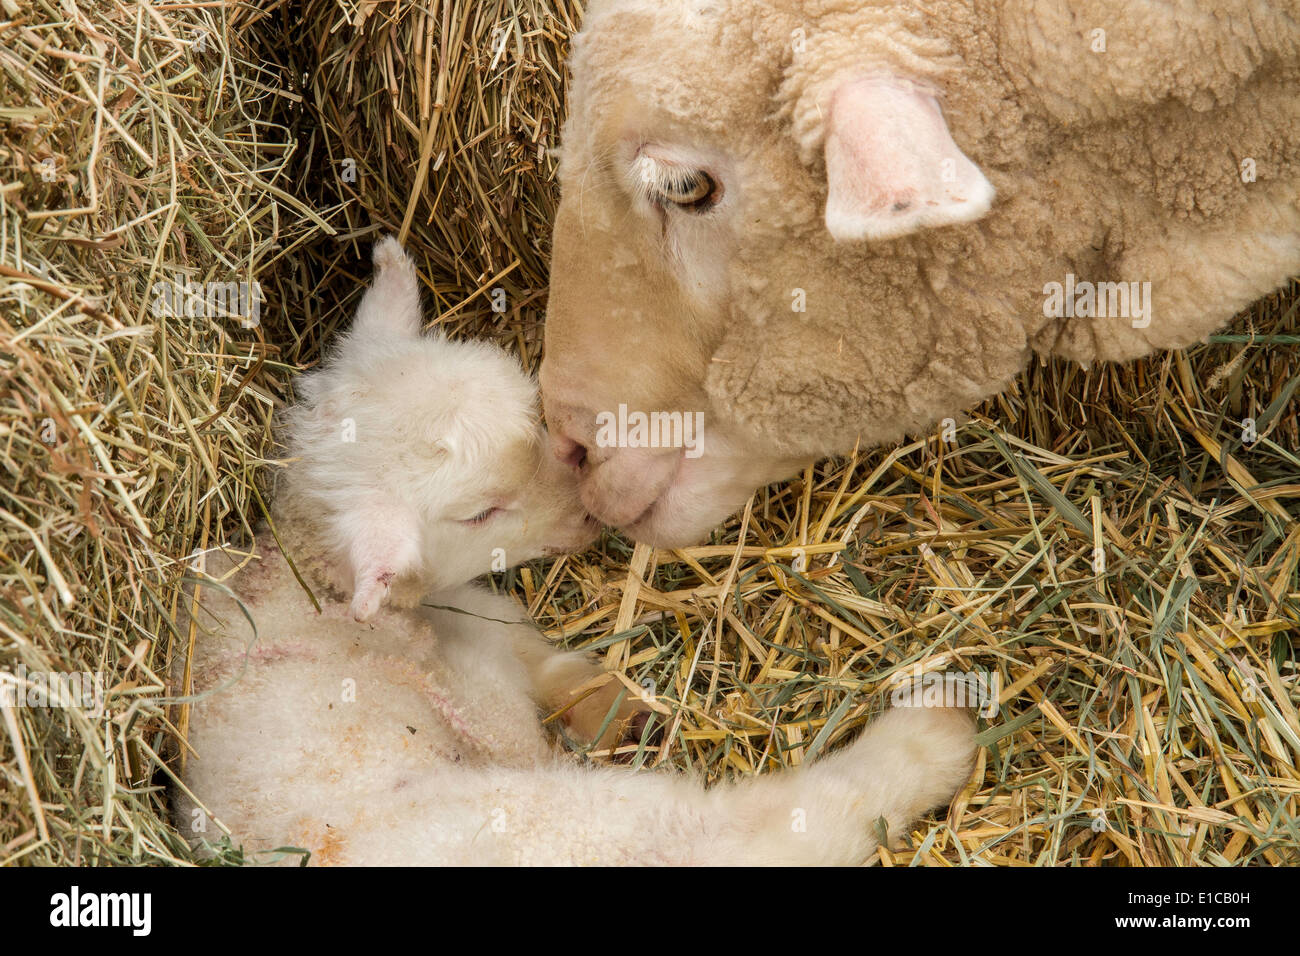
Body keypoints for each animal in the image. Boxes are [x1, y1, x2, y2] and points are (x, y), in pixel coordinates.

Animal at [173, 238, 977, 865]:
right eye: (479, 513)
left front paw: (614, 709)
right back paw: (937, 728)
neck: (319, 596)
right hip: (591, 823)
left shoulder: (483, 624)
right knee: (783, 827)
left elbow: (547, 662)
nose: (590, 505)